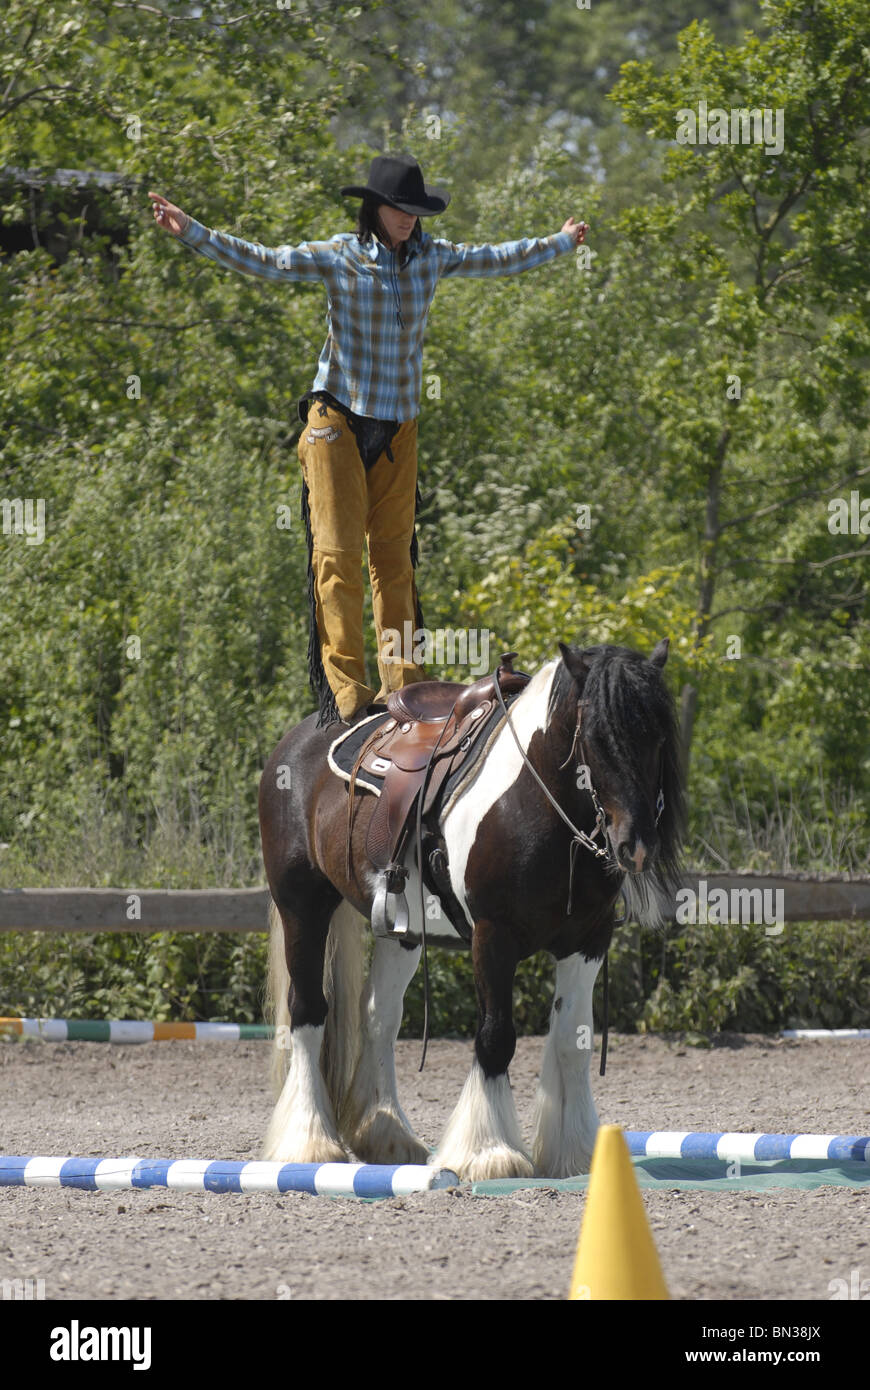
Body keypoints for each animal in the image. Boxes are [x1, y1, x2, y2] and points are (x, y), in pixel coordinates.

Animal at [258, 638, 685, 1181]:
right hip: (302, 906)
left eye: (658, 735)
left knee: (380, 1017)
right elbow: (496, 1037)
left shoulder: (588, 941)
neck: (535, 803)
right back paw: (309, 1142)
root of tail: (297, 740)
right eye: (594, 734)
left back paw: (387, 1136)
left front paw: (575, 1153)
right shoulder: (492, 935)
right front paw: (489, 1153)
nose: (636, 845)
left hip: (401, 932)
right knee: (308, 1012)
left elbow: (573, 1040)